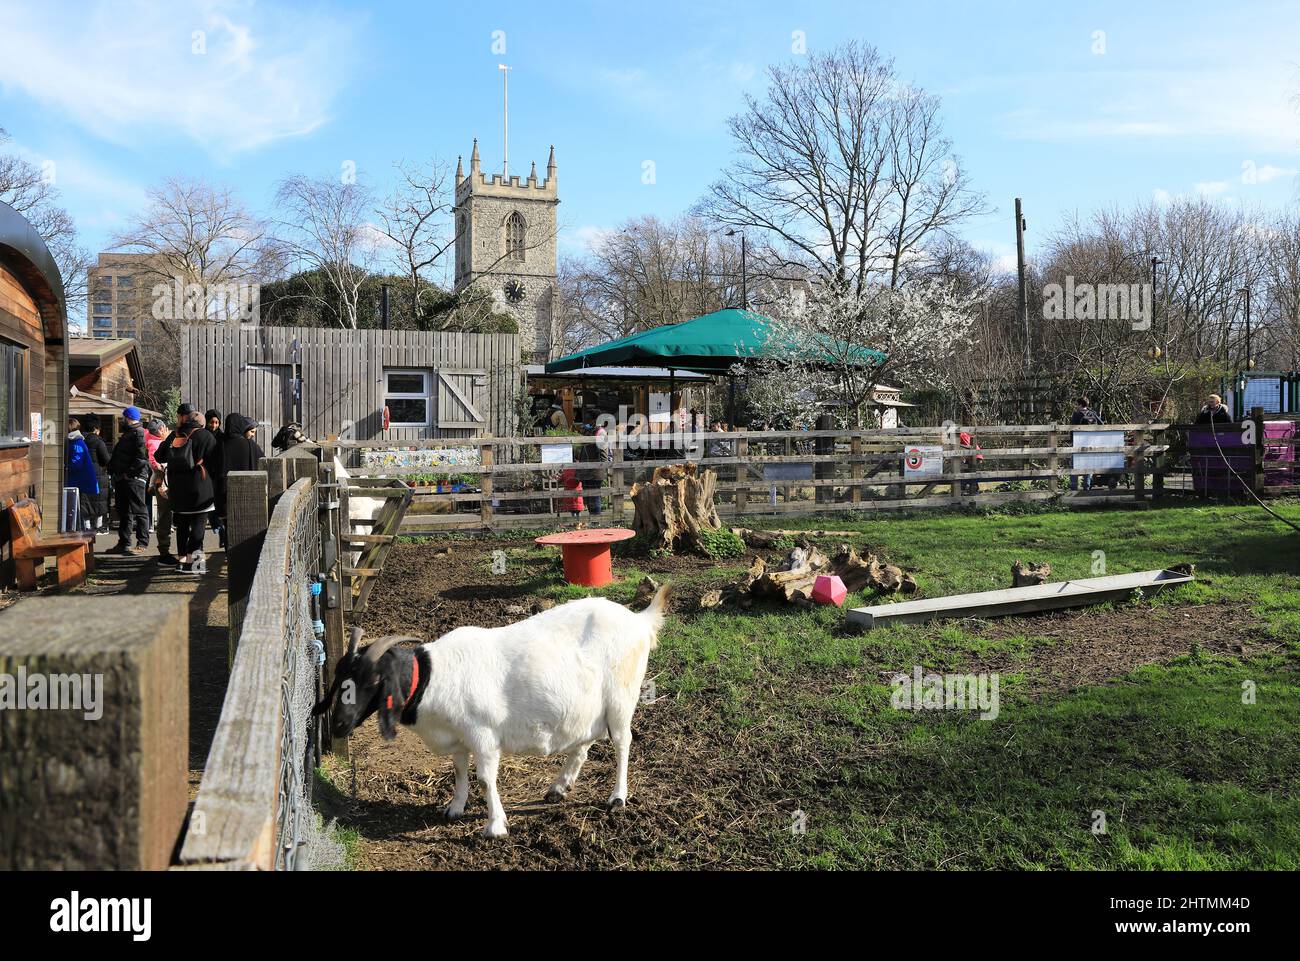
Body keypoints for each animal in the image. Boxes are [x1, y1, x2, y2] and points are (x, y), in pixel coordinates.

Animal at [312, 584, 670, 838]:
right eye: (339, 677)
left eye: (374, 679)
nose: (339, 725)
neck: (434, 676)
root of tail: (639, 621)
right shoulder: (457, 739)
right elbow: (458, 771)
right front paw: (454, 809)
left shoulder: (482, 735)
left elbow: (485, 779)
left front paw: (495, 826)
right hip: (588, 707)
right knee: (584, 743)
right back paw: (558, 788)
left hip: (622, 697)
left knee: (622, 742)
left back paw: (617, 798)